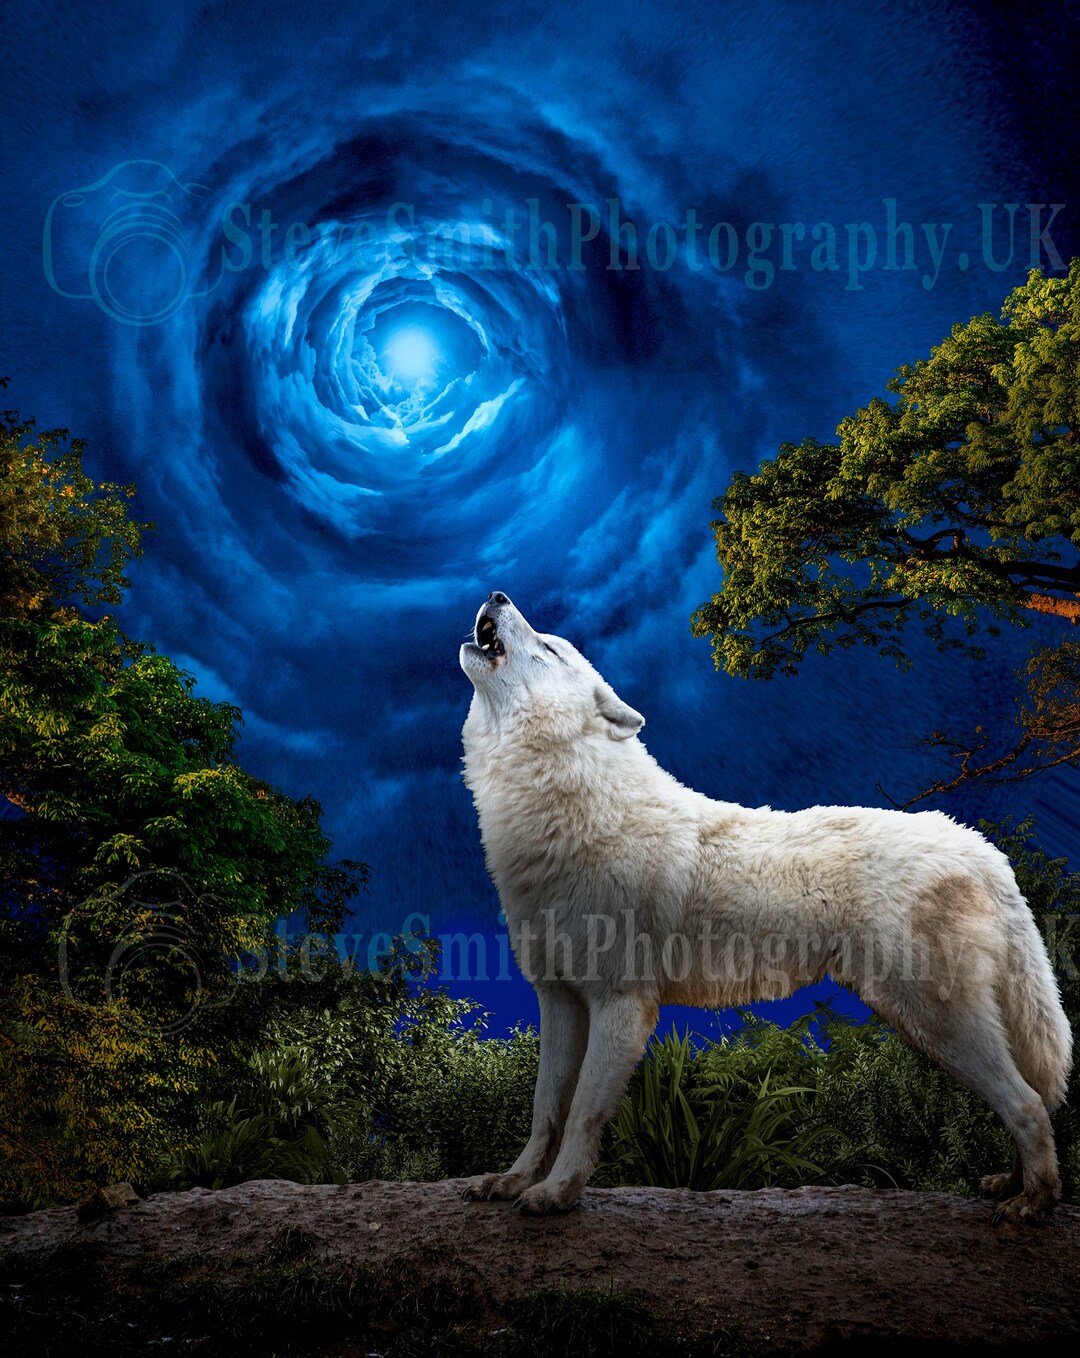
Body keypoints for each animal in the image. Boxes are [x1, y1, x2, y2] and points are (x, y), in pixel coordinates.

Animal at [458, 592, 1072, 1221]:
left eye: (549, 647)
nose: (499, 596)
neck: (568, 813)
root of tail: (979, 846)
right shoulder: (558, 1000)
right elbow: (545, 1110)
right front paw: (511, 1181)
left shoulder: (620, 1005)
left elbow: (582, 1112)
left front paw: (557, 1194)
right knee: (1027, 1098)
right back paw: (1011, 1186)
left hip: (934, 1021)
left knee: (1028, 1103)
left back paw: (1034, 1202)